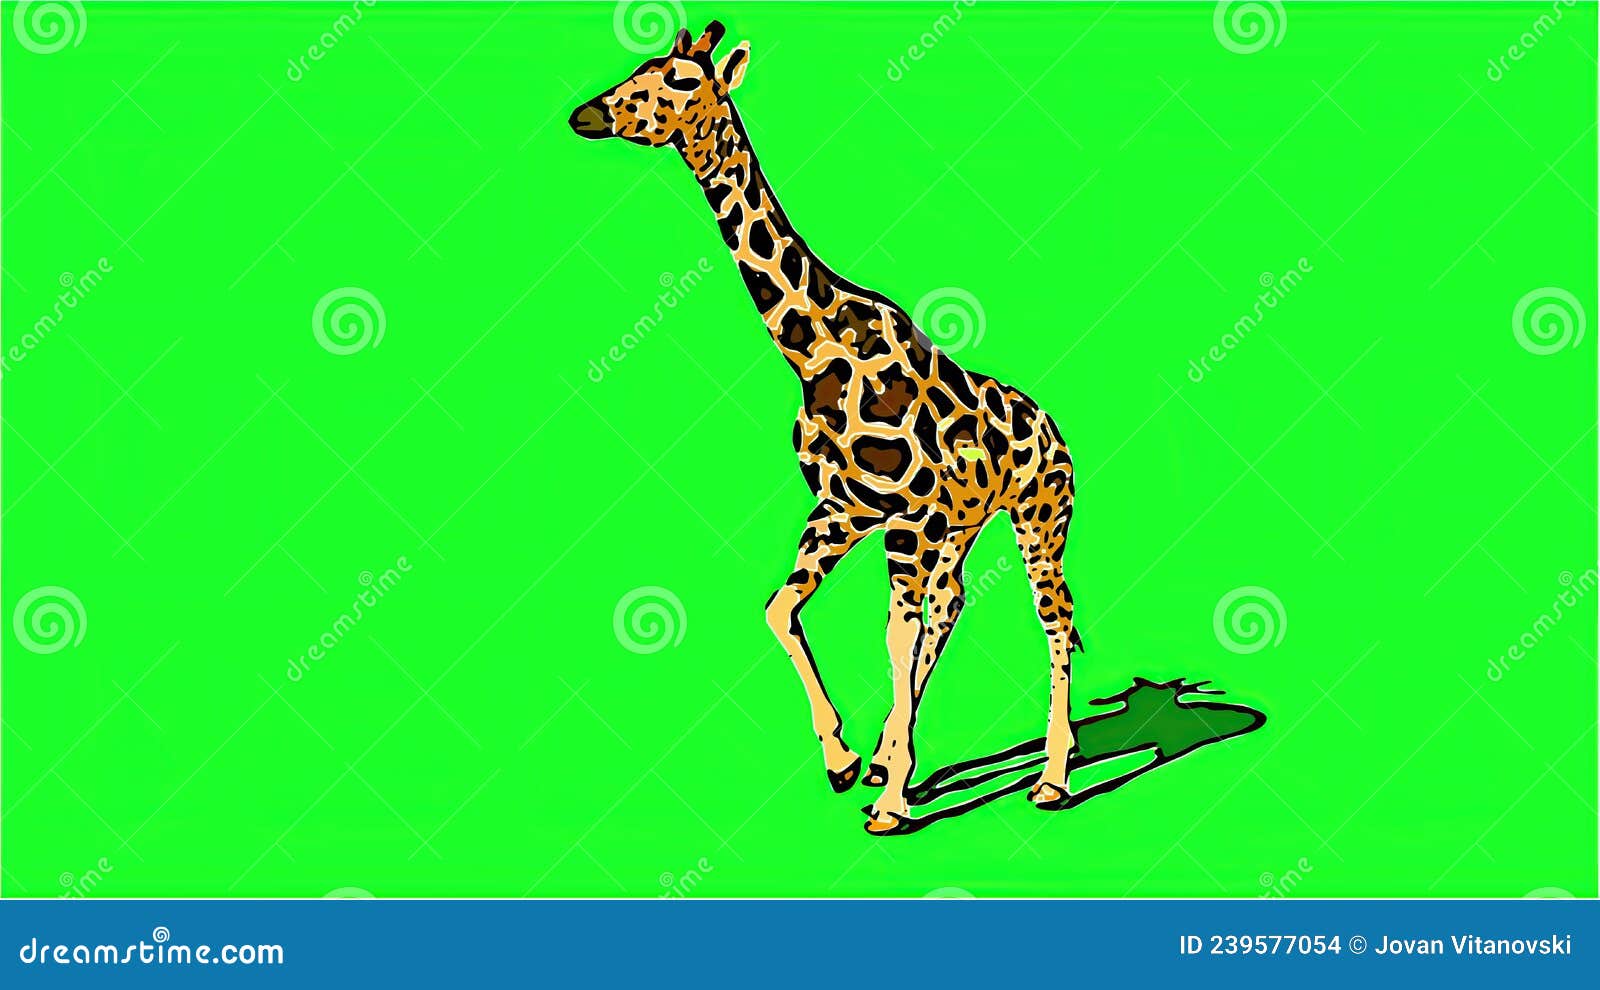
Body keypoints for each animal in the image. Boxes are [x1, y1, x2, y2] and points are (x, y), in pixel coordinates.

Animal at [571, 21, 1083, 834]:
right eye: (640, 67)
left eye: (681, 79)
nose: (585, 113)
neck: (810, 348)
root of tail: (1058, 428)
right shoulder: (845, 510)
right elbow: (783, 609)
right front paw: (849, 763)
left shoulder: (907, 516)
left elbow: (893, 634)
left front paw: (890, 799)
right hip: (964, 525)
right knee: (951, 606)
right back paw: (891, 759)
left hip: (1039, 515)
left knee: (1052, 617)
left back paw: (1051, 779)